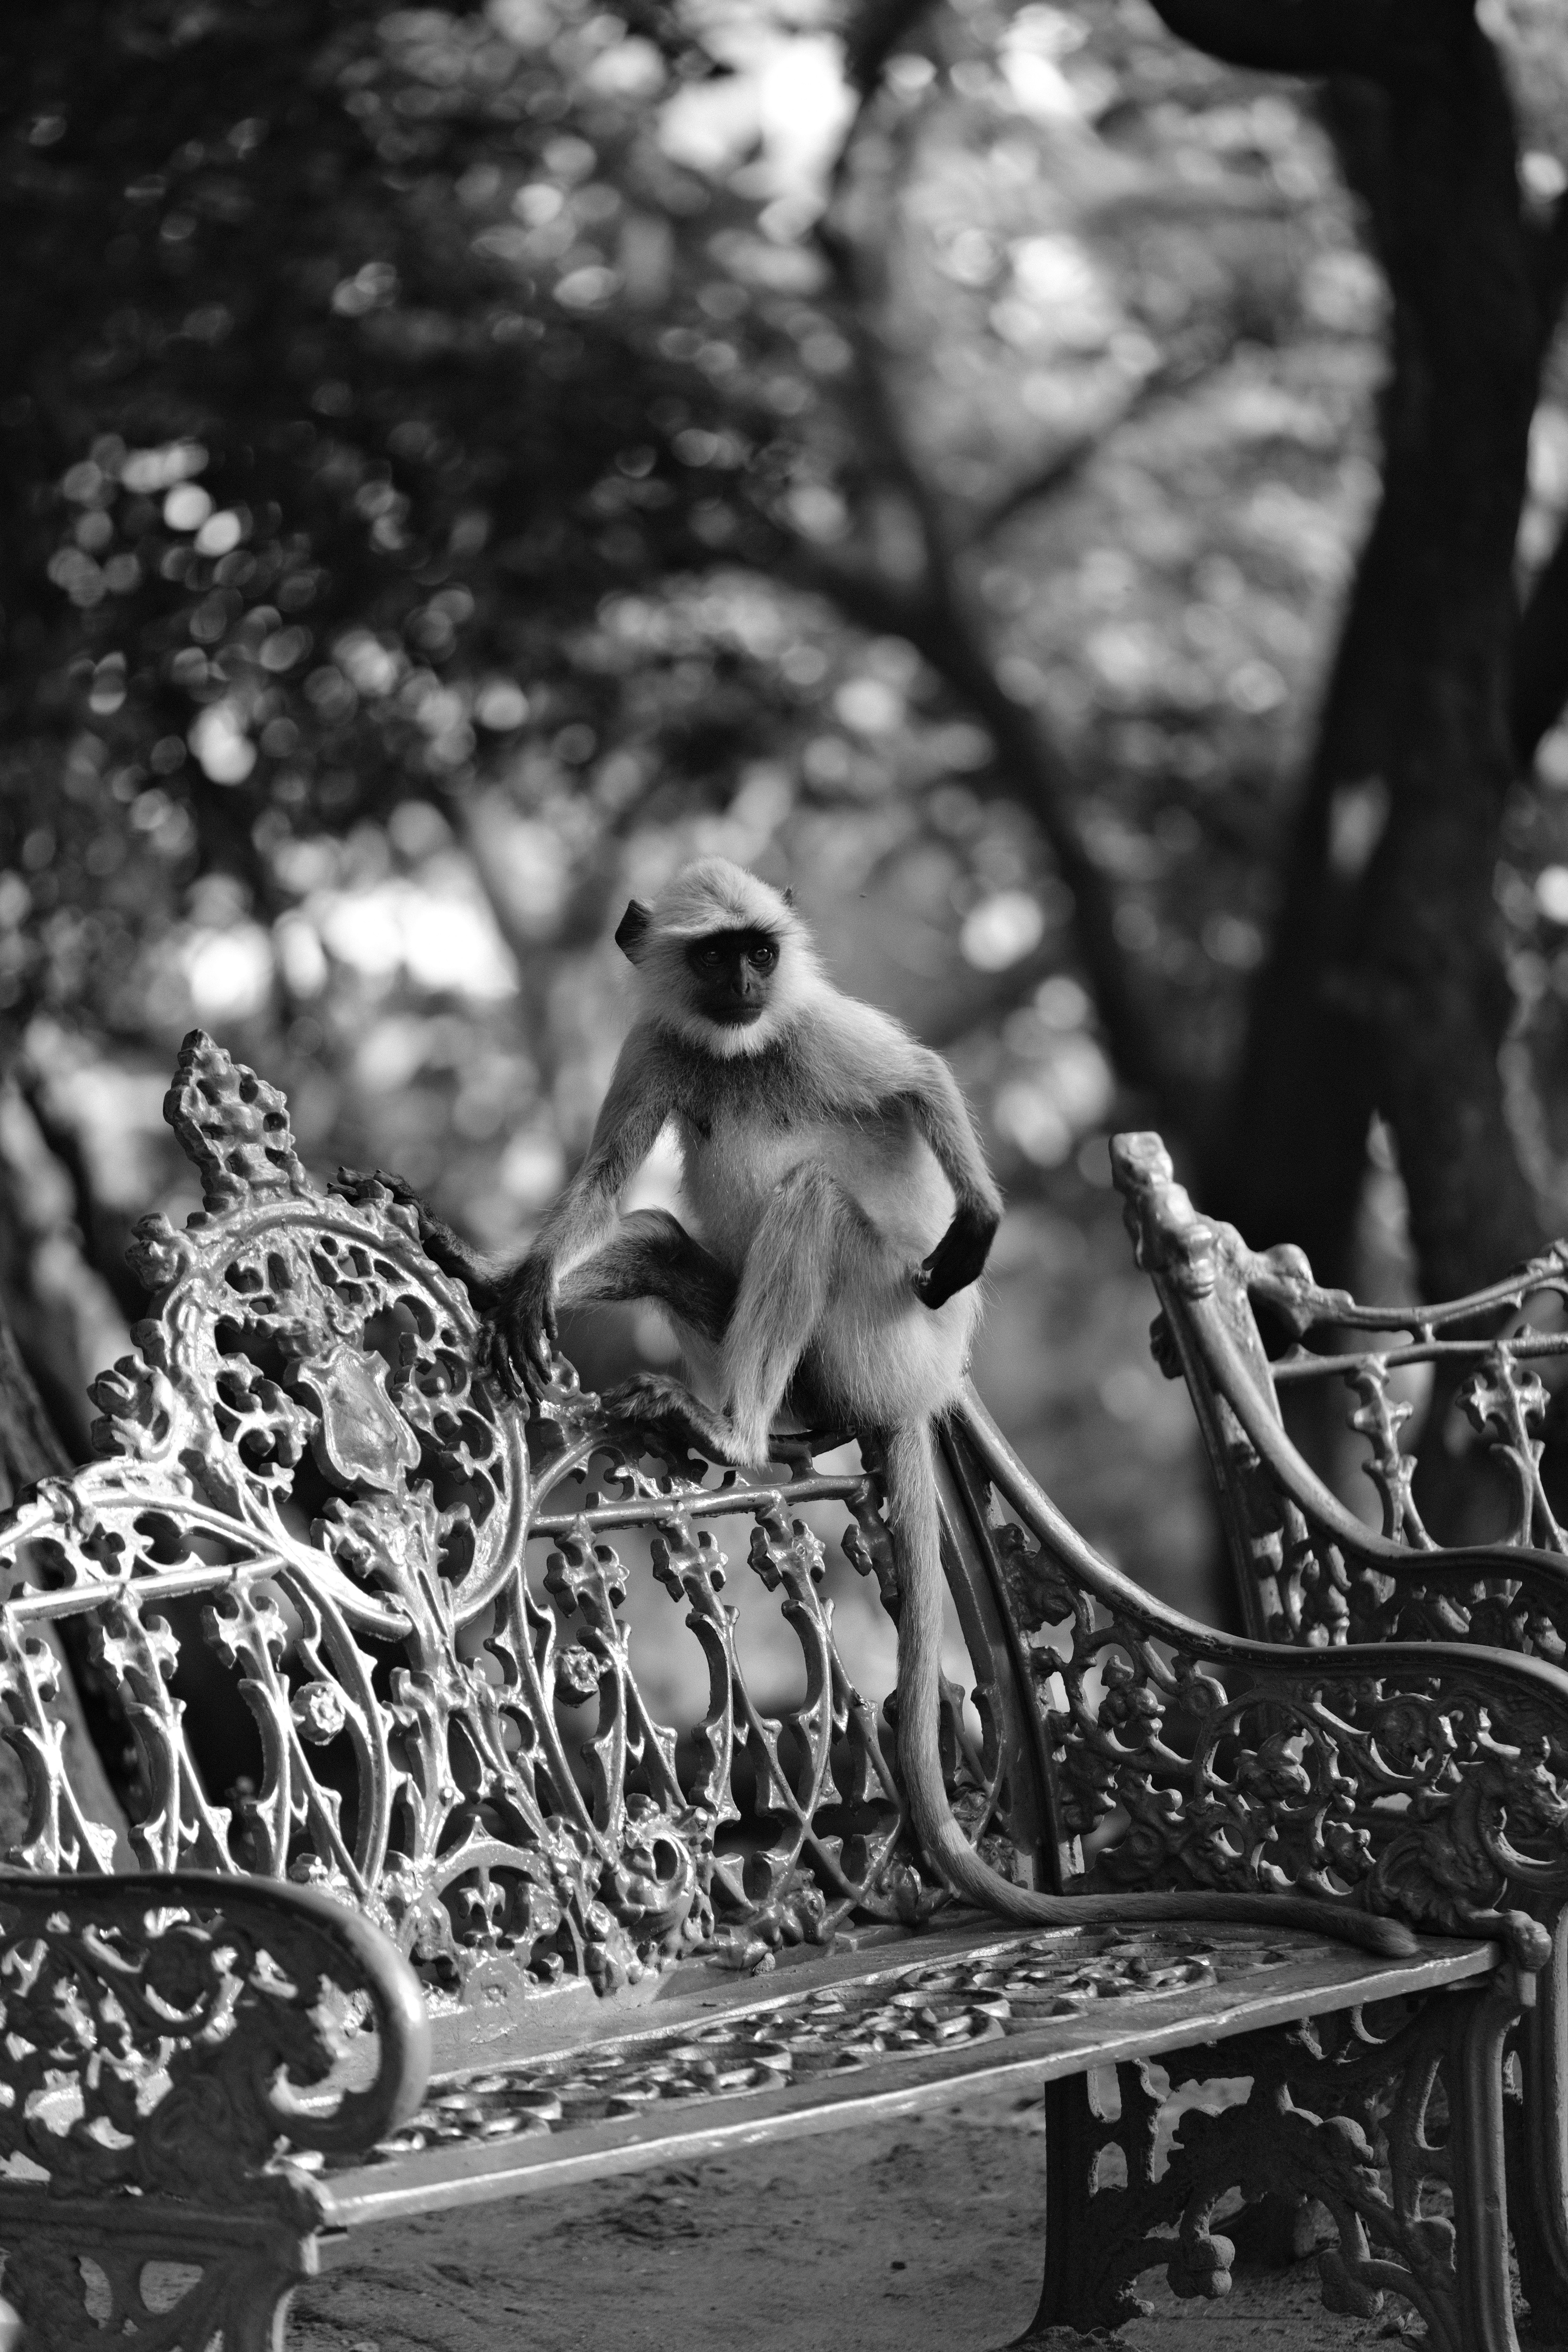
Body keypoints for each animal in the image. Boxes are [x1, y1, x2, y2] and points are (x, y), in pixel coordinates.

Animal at [359, 857, 1417, 1963]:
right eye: (717, 956)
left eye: (761, 950)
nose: (749, 980)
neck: (742, 1049)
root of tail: (921, 1389)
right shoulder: (659, 1040)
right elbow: (608, 1179)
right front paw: (503, 1278)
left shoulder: (814, 1023)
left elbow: (918, 1078)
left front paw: (979, 1216)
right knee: (652, 1230)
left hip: (878, 1319)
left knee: (814, 1199)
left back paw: (729, 1426)